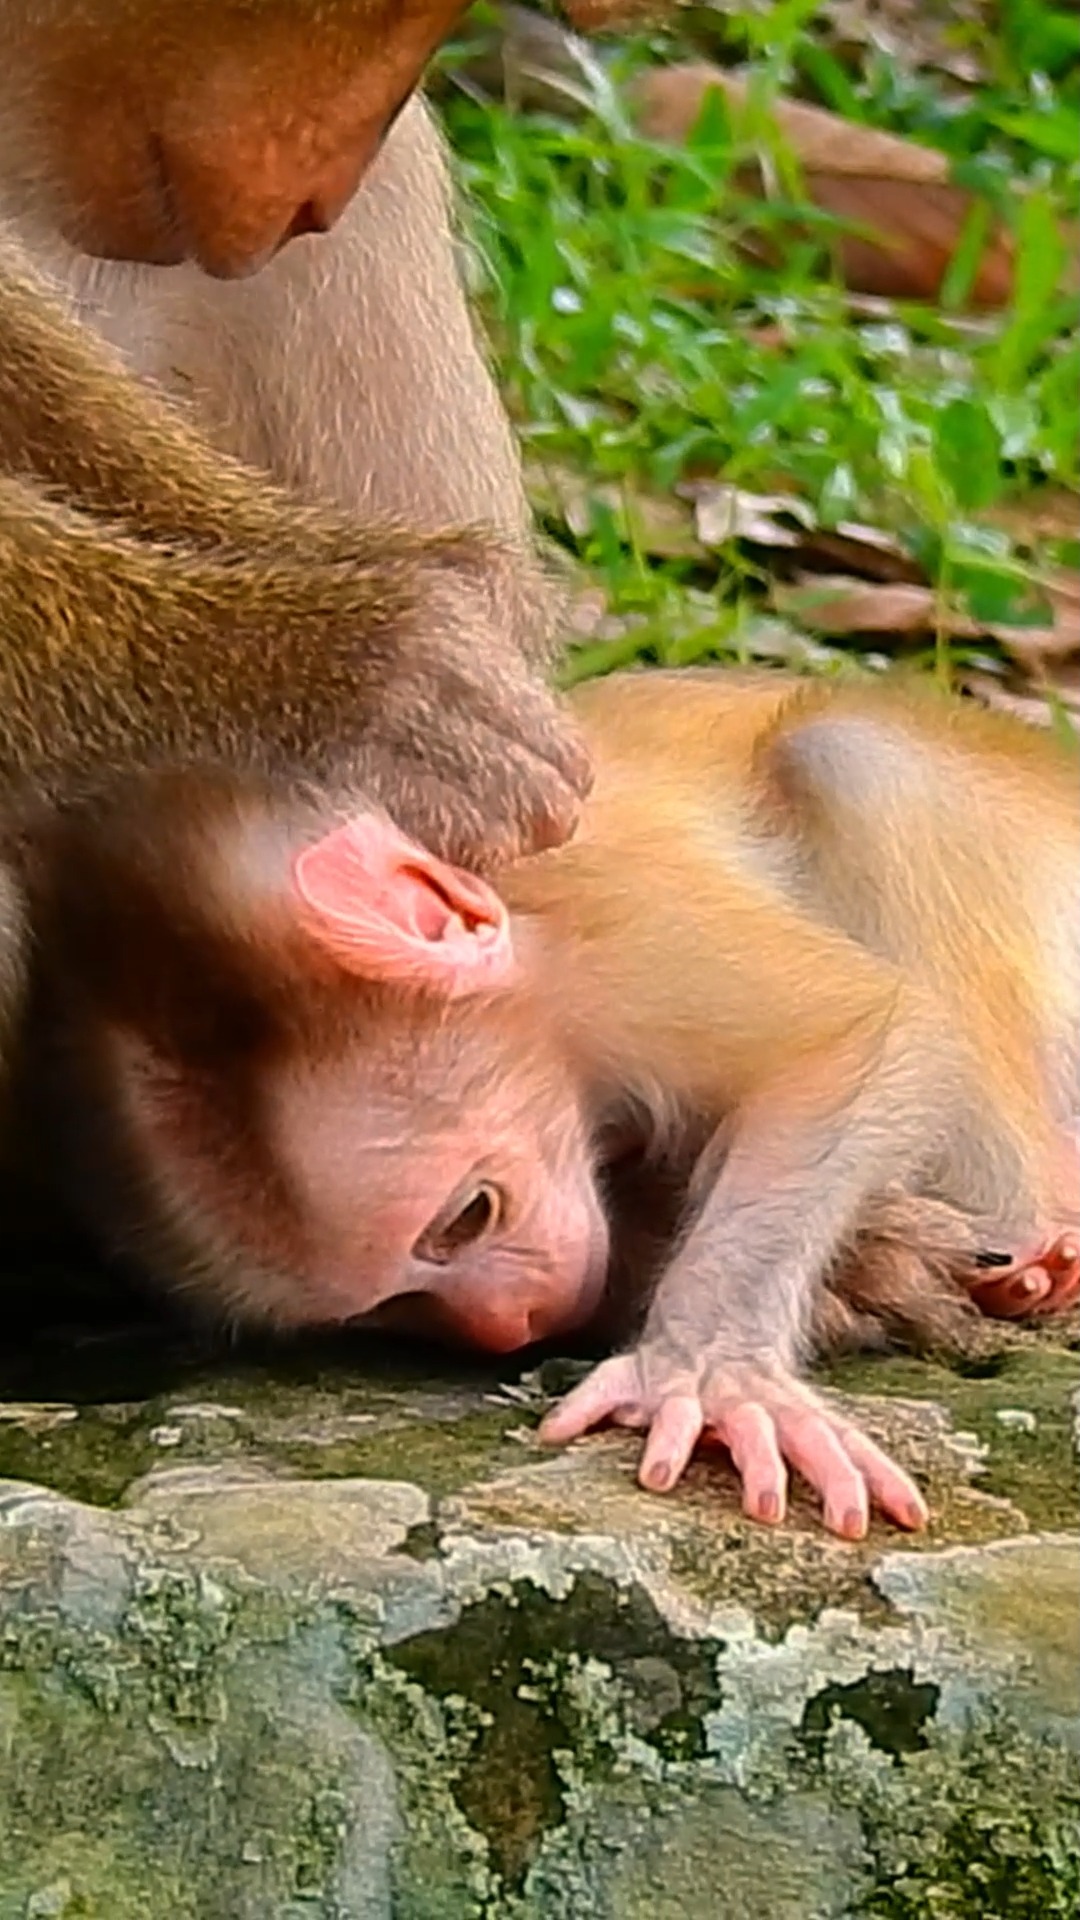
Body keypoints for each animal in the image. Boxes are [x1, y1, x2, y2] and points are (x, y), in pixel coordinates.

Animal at [9, 667, 1078, 1542]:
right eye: (398, 1312)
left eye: (467, 1216)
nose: (508, 1322)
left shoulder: (626, 939)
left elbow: (856, 1035)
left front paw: (709, 1365)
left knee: (847, 759)